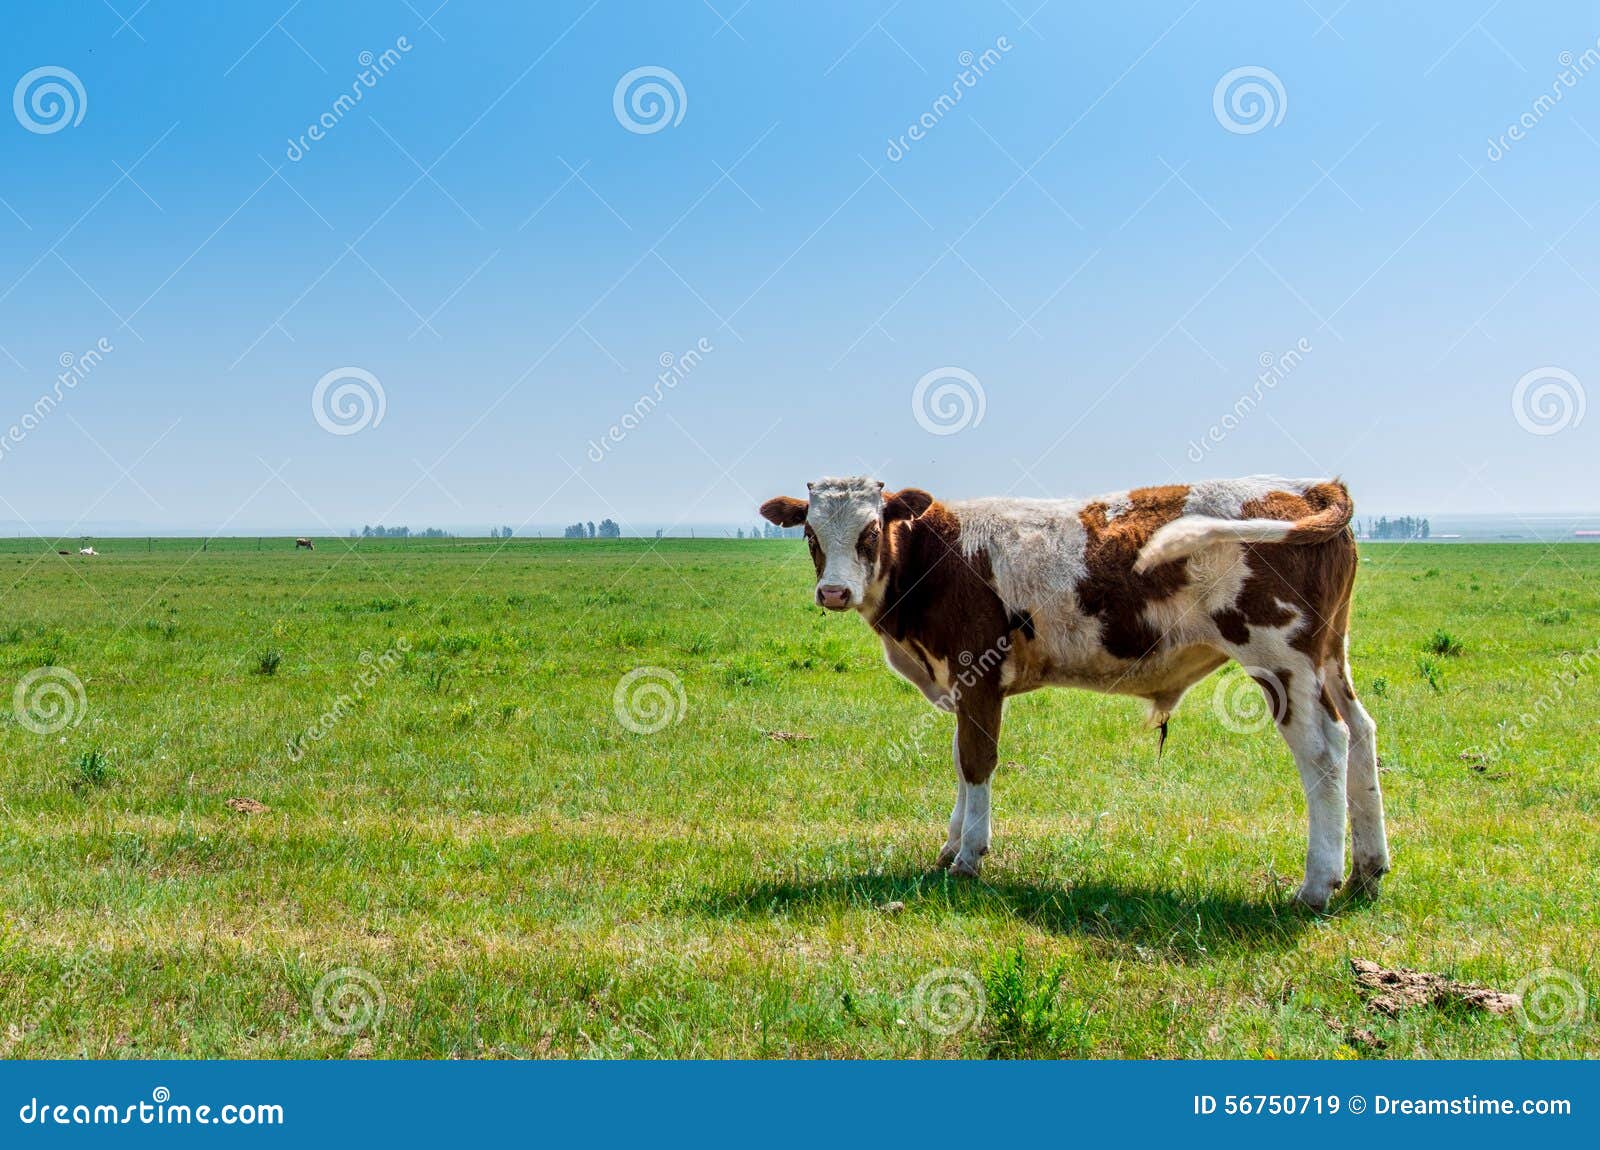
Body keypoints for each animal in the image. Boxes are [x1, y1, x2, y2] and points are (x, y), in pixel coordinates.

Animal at [758, 475, 1388, 911]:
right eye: (812, 534)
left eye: (869, 532)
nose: (833, 592)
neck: (936, 556)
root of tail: (1310, 486)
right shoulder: (961, 686)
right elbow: (961, 762)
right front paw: (949, 846)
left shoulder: (978, 672)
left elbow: (977, 761)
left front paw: (969, 856)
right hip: (1330, 655)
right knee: (1360, 733)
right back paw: (1367, 869)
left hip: (1281, 659)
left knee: (1325, 750)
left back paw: (1317, 885)